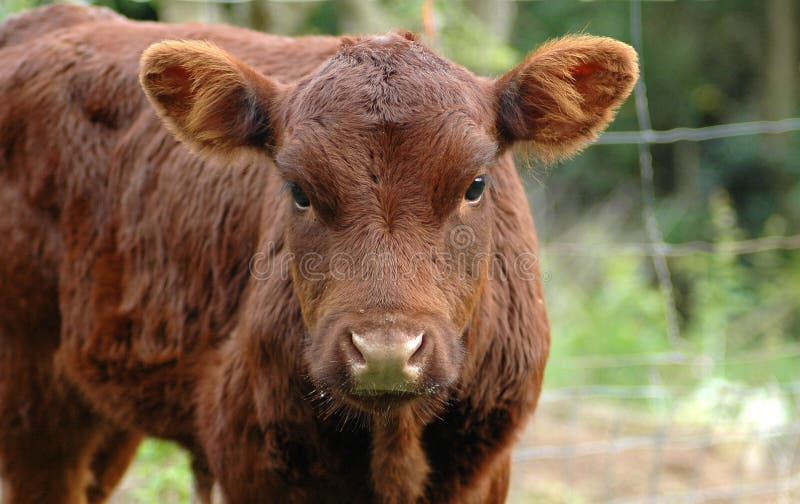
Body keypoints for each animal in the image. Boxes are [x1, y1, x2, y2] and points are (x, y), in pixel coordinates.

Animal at [0, 4, 637, 503]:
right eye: (298, 190)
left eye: (475, 184)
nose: (385, 351)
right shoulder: (255, 461)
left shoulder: (485, 469)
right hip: (35, 395)